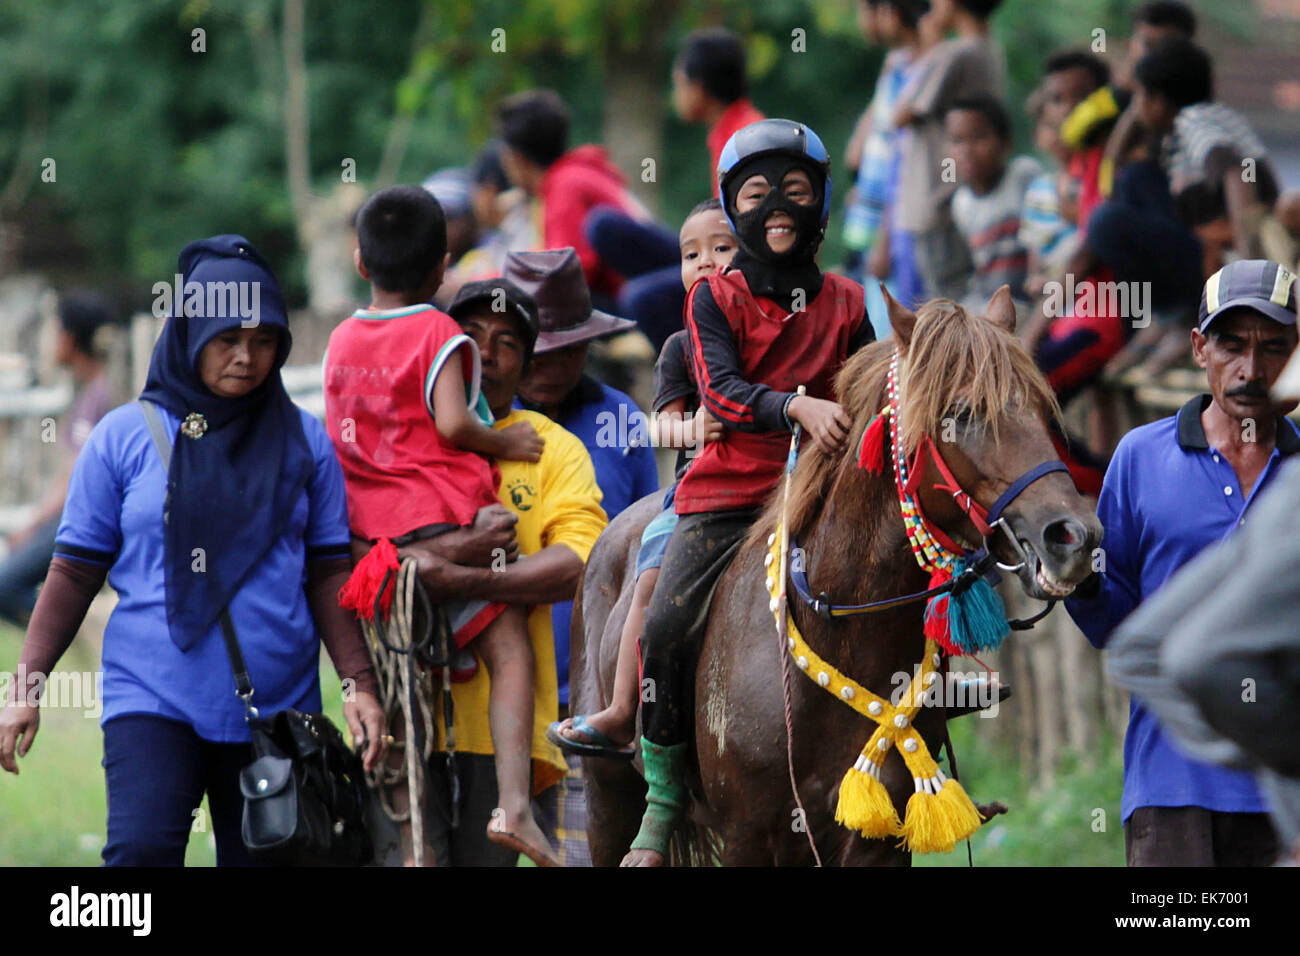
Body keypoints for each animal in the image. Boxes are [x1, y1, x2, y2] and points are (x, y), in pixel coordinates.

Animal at [569, 287, 1097, 863]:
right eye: (960, 413)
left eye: (1044, 412)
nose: (1074, 537)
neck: (844, 627)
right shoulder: (747, 835)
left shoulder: (876, 840)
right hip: (605, 797)